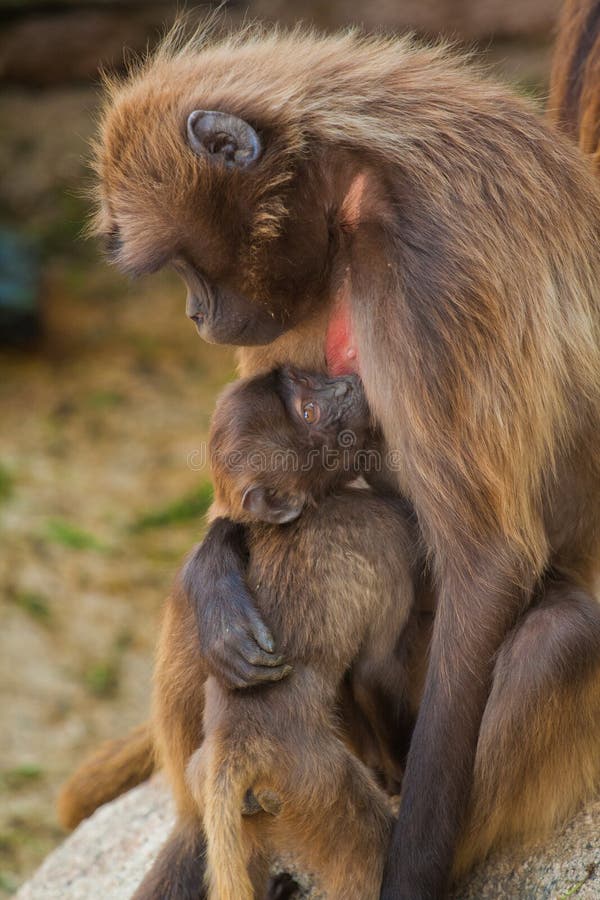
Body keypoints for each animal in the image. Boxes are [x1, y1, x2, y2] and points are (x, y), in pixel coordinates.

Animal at [62, 11, 600, 898]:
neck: (352, 180)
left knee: (555, 639)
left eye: (186, 266)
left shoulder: (427, 267)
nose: (198, 313)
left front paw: (410, 872)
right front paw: (218, 574)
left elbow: (488, 561)